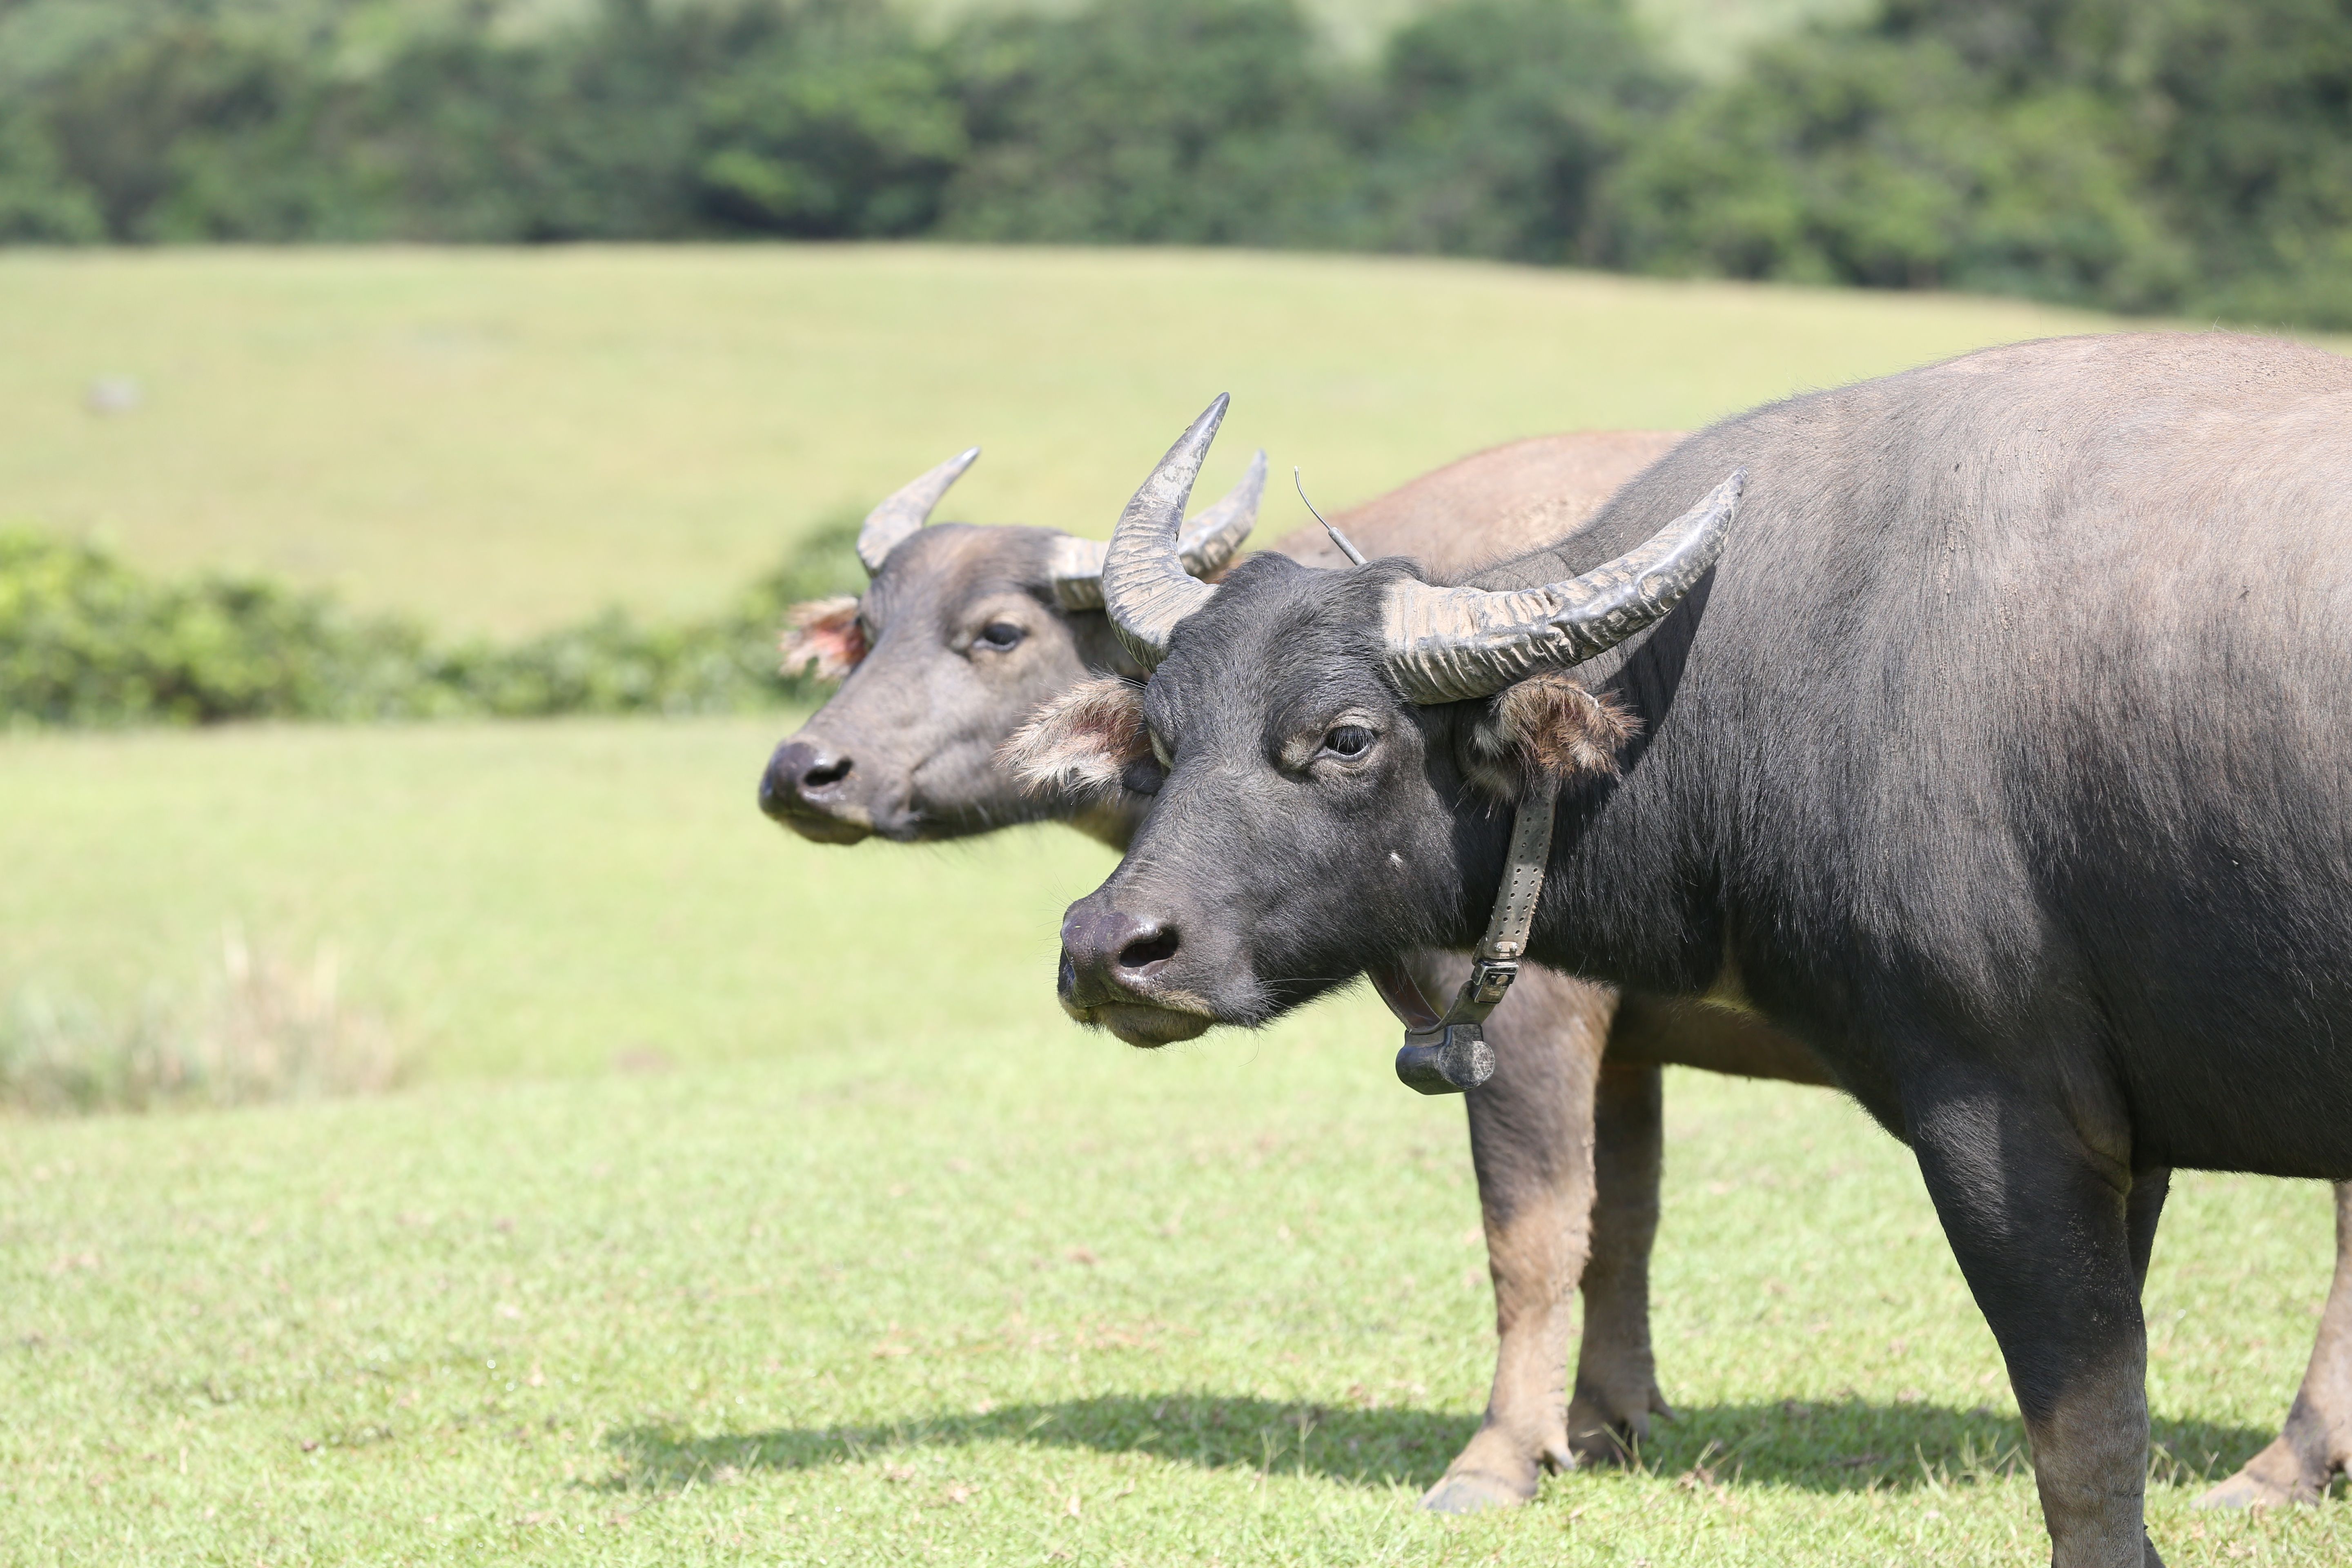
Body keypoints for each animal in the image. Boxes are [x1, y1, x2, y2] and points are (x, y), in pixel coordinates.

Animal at [760, 397, 2349, 1520]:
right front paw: (1609, 1420)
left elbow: (1529, 1233)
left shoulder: (1543, 1023)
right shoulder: (1633, 1040)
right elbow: (1619, 1225)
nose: (802, 771)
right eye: (1162, 730)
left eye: (998, 630)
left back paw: (2283, 1465)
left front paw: (1498, 1455)